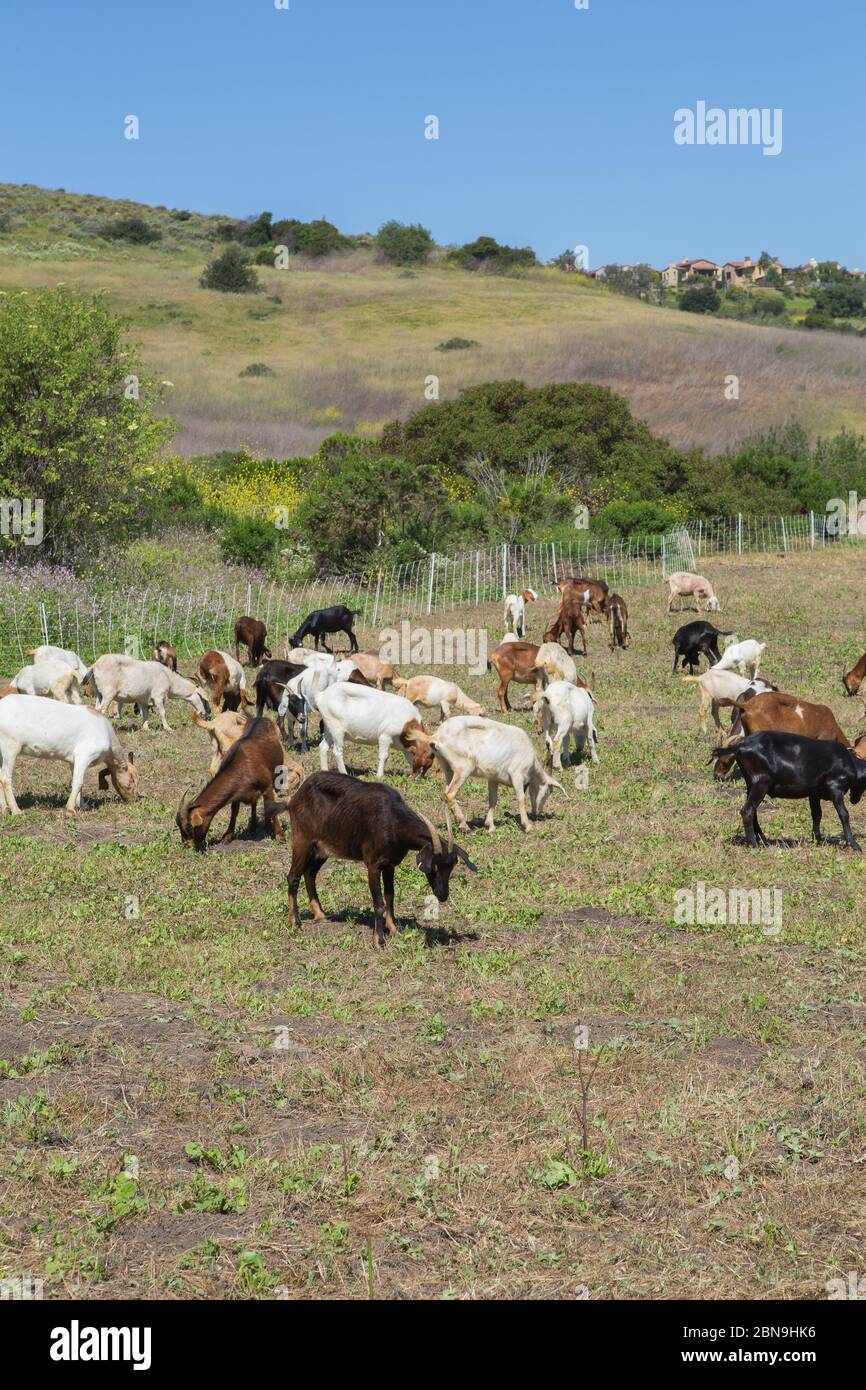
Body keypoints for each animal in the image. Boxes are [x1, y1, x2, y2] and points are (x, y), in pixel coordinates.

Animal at [0, 695, 137, 816]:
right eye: (130, 783)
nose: (131, 801)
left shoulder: (74, 761)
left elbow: (76, 780)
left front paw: (82, 805)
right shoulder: (84, 755)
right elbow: (78, 782)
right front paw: (70, 810)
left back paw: (4, 808)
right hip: (10, 747)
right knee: (5, 778)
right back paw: (16, 811)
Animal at [176, 717, 301, 849]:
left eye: (189, 827)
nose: (187, 845)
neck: (243, 766)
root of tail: (261, 718)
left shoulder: (267, 787)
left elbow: (271, 809)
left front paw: (280, 836)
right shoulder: (236, 793)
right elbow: (234, 812)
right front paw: (227, 836)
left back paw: (266, 826)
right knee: (254, 803)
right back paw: (253, 826)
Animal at [271, 772, 476, 949]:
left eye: (452, 866)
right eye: (433, 866)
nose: (442, 895)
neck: (393, 821)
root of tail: (294, 799)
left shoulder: (390, 864)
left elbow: (390, 897)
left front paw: (394, 931)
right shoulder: (373, 865)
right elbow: (378, 903)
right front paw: (379, 940)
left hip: (322, 849)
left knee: (310, 873)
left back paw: (320, 914)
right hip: (302, 840)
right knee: (293, 876)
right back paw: (295, 922)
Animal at [431, 715, 564, 833]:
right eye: (547, 792)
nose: (537, 814)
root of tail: (437, 736)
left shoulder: (493, 778)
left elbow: (493, 799)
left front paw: (490, 826)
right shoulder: (516, 774)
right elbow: (521, 798)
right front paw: (527, 826)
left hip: (447, 768)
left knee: (446, 793)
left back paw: (456, 824)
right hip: (464, 767)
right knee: (449, 794)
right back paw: (465, 826)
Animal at [713, 730, 866, 851]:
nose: (854, 800)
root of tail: (739, 746)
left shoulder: (814, 793)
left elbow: (817, 814)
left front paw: (817, 840)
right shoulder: (835, 786)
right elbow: (844, 814)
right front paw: (854, 845)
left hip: (751, 784)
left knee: (753, 810)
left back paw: (763, 840)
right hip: (761, 782)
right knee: (747, 810)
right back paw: (753, 844)